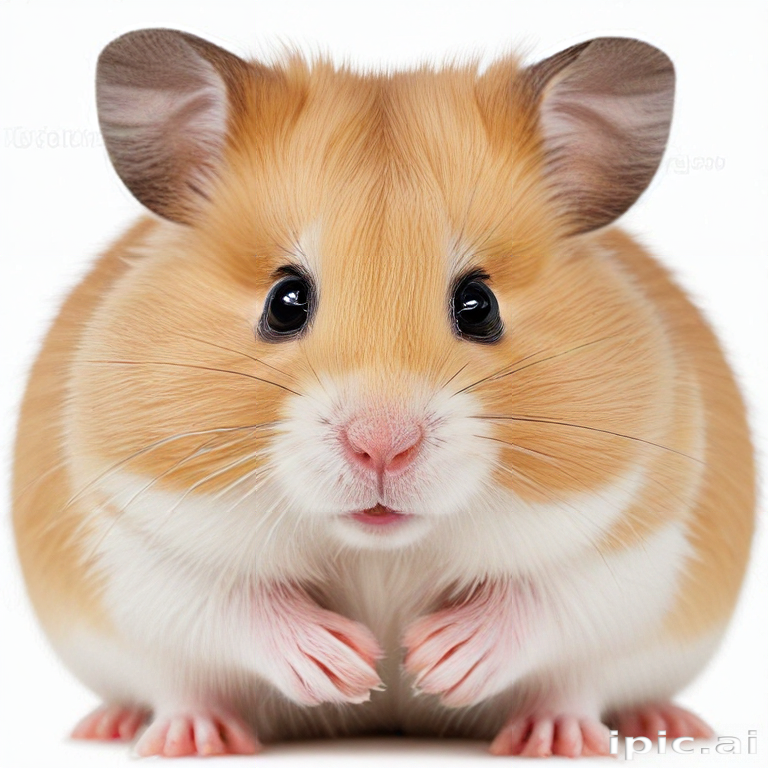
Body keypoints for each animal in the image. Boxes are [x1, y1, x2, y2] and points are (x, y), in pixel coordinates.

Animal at [12, 29, 754, 758]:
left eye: (479, 306)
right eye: (285, 301)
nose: (381, 449)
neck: (382, 549)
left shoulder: (641, 532)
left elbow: (549, 599)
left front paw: (432, 658)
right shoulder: (131, 535)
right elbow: (225, 602)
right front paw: (348, 664)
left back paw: (594, 733)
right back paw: (163, 734)